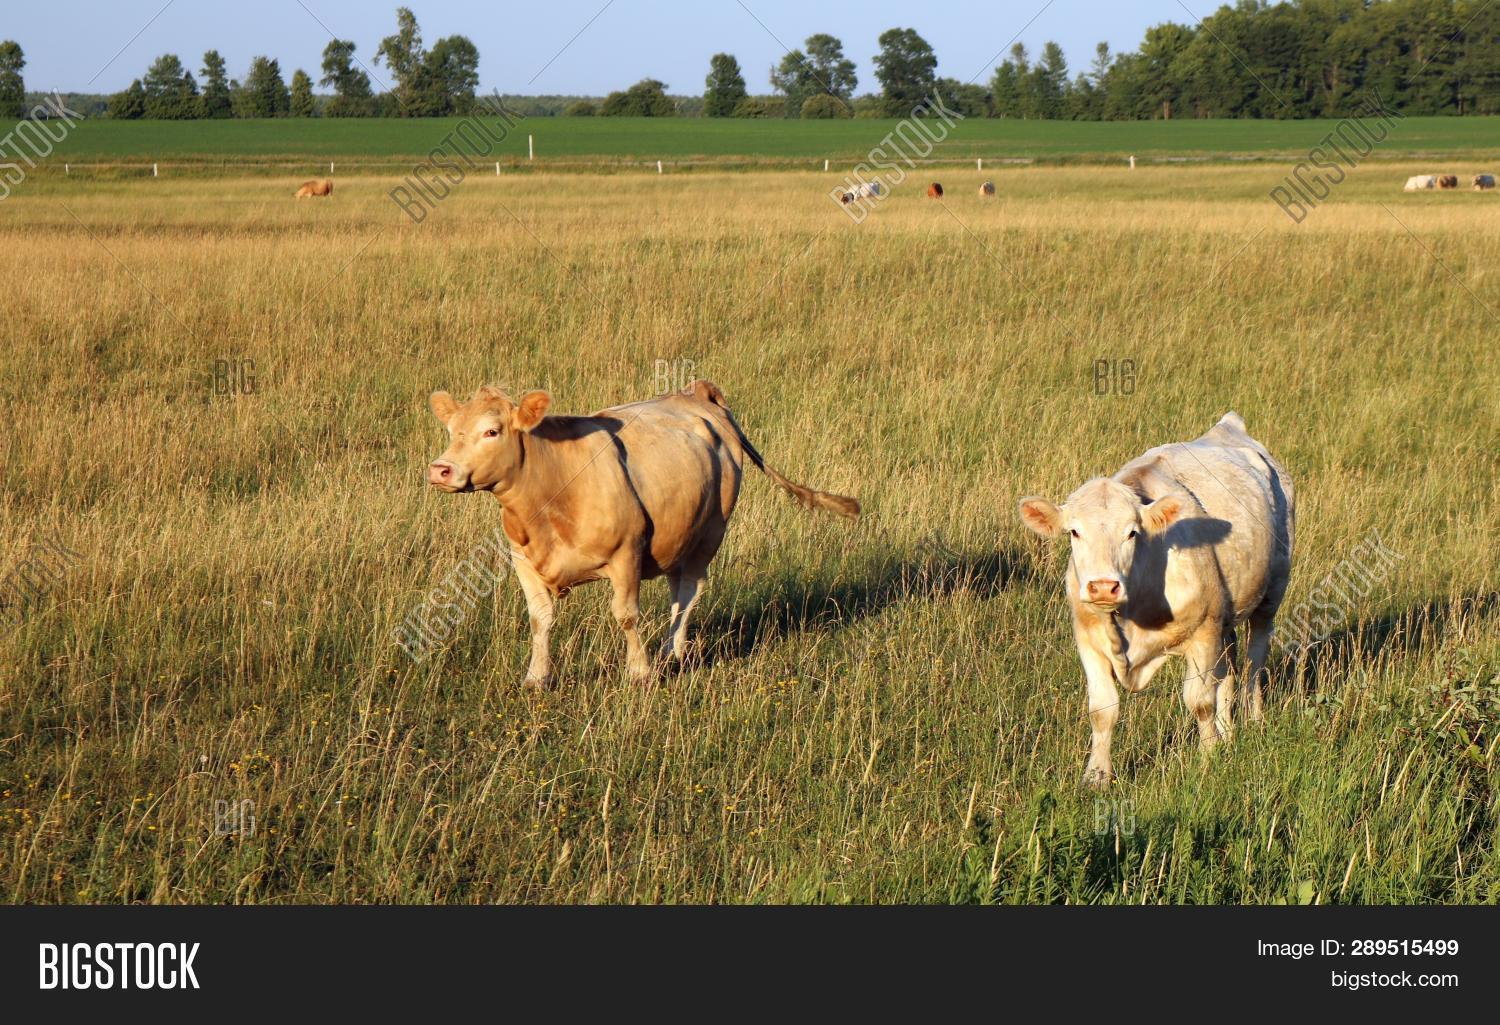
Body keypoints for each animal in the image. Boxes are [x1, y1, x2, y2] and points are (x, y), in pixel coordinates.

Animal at [427, 380, 859, 689]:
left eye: (492, 431)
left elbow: (626, 615)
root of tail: (695, 395)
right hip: (679, 532)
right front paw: (537, 677)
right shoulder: (522, 560)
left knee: (691, 590)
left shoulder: (627, 554)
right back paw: (674, 650)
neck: (551, 492)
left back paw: (669, 653)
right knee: (677, 589)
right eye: (450, 430)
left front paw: (639, 673)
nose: (441, 469)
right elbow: (540, 618)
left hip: (711, 532)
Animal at [1017, 413, 1294, 787]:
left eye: (1132, 532)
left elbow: (1200, 701)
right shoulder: (1087, 637)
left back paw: (1255, 721)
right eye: (1074, 531)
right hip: (1227, 615)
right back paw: (1228, 732)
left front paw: (1207, 760)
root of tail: (1229, 427)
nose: (1103, 586)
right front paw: (1097, 775)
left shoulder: (1203, 632)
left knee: (1254, 660)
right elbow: (1102, 709)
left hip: (1271, 592)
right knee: (1230, 666)